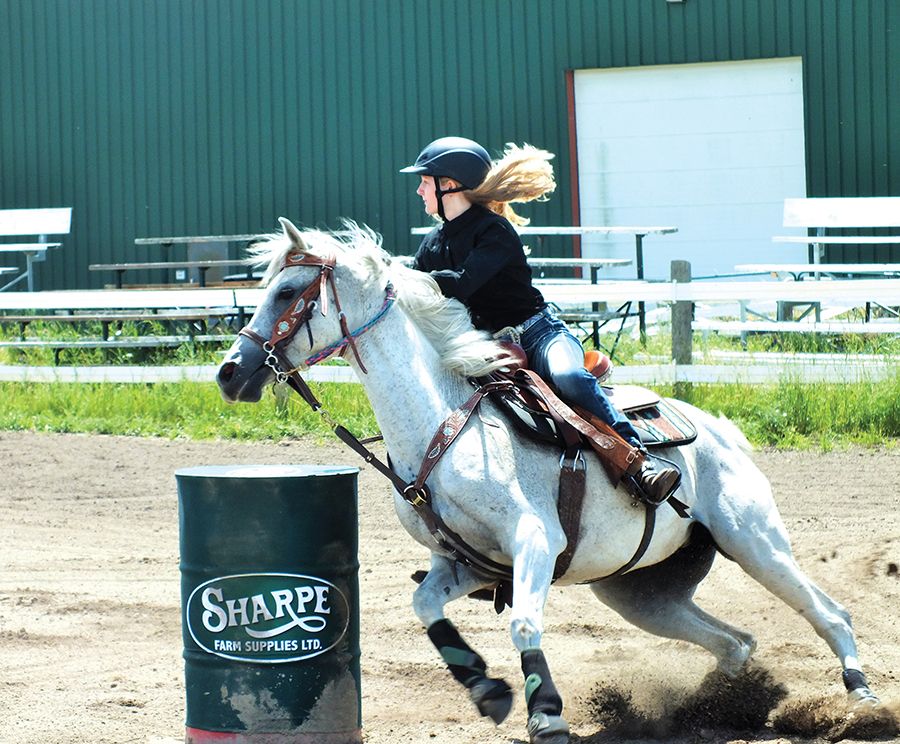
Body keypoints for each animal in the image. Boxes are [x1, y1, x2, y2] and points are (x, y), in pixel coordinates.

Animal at [216, 218, 880, 744]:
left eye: (289, 291)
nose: (229, 372)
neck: (442, 420)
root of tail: (719, 430)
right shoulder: (463, 563)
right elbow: (424, 605)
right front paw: (487, 691)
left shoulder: (534, 541)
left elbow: (524, 624)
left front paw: (547, 716)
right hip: (641, 595)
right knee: (735, 643)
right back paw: (713, 709)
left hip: (755, 542)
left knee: (830, 614)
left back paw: (863, 702)